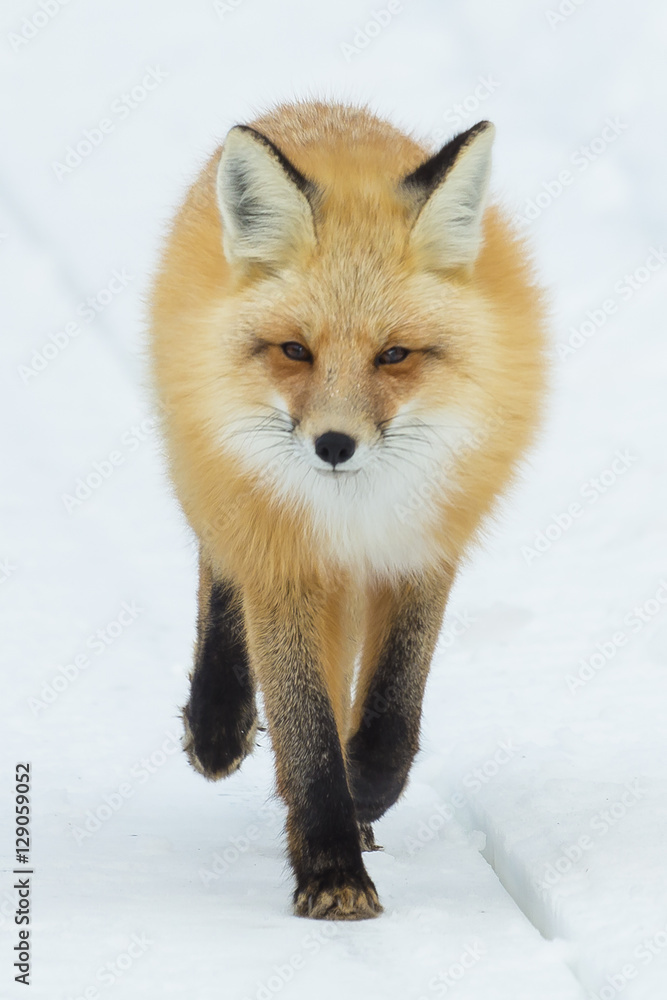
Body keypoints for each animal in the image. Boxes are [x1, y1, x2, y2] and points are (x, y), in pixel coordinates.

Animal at [148, 100, 547, 920]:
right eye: (295, 351)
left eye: (393, 356)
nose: (333, 445)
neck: (353, 512)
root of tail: (315, 107)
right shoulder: (284, 564)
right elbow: (306, 734)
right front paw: (330, 867)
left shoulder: (422, 550)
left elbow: (393, 705)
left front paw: (366, 791)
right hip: (211, 480)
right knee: (217, 574)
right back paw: (217, 719)